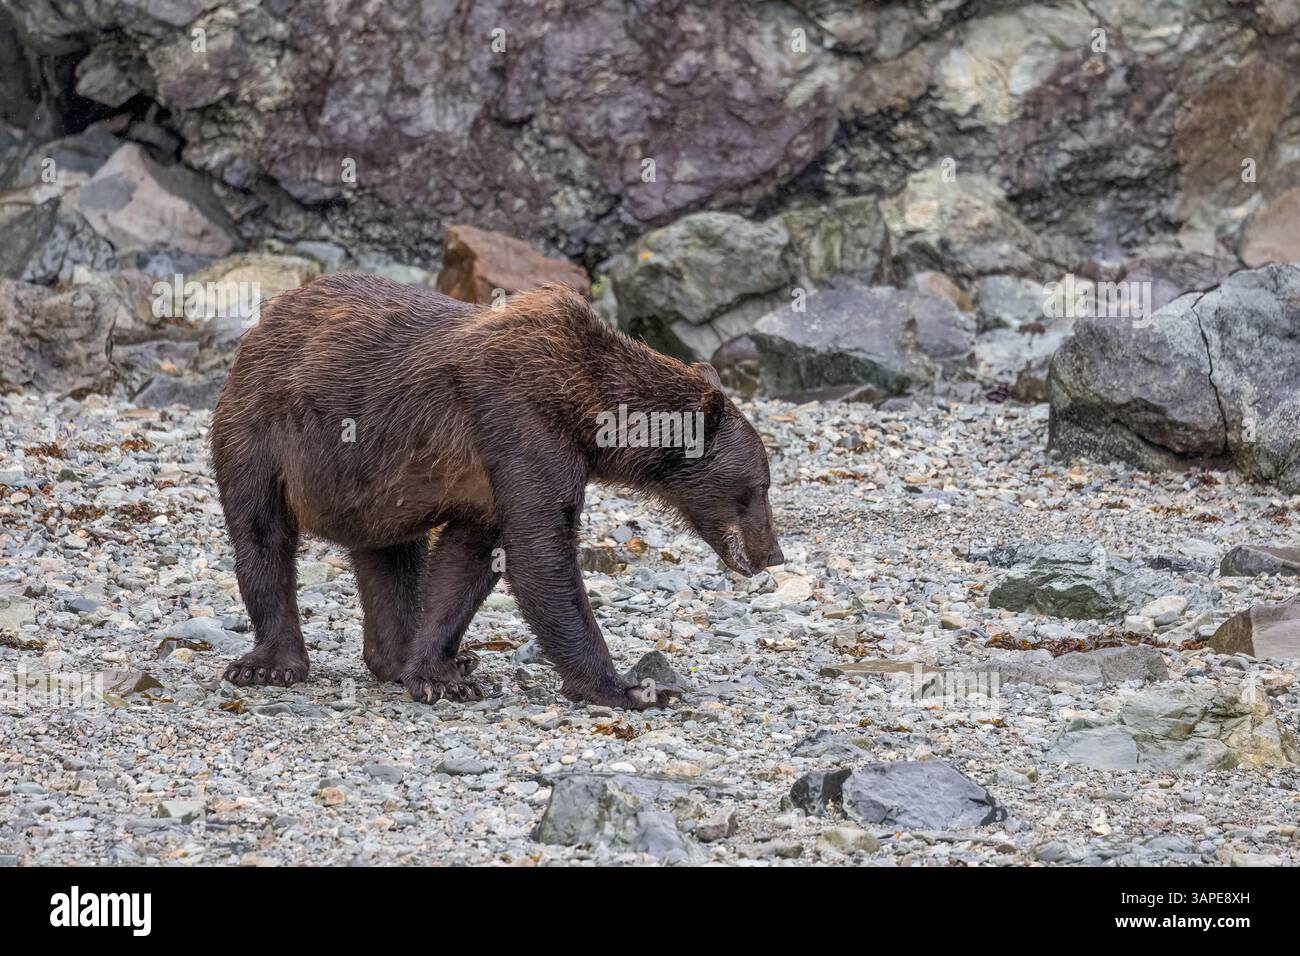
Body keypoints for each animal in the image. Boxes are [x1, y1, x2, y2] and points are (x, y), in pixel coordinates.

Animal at [209, 274, 783, 709]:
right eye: (760, 486)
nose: (773, 553)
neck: (588, 412)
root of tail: (264, 320)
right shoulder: (519, 423)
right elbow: (540, 553)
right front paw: (632, 687)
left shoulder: (491, 480)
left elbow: (467, 563)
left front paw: (440, 672)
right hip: (262, 431)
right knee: (263, 536)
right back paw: (272, 664)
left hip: (373, 484)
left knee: (390, 556)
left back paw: (402, 657)